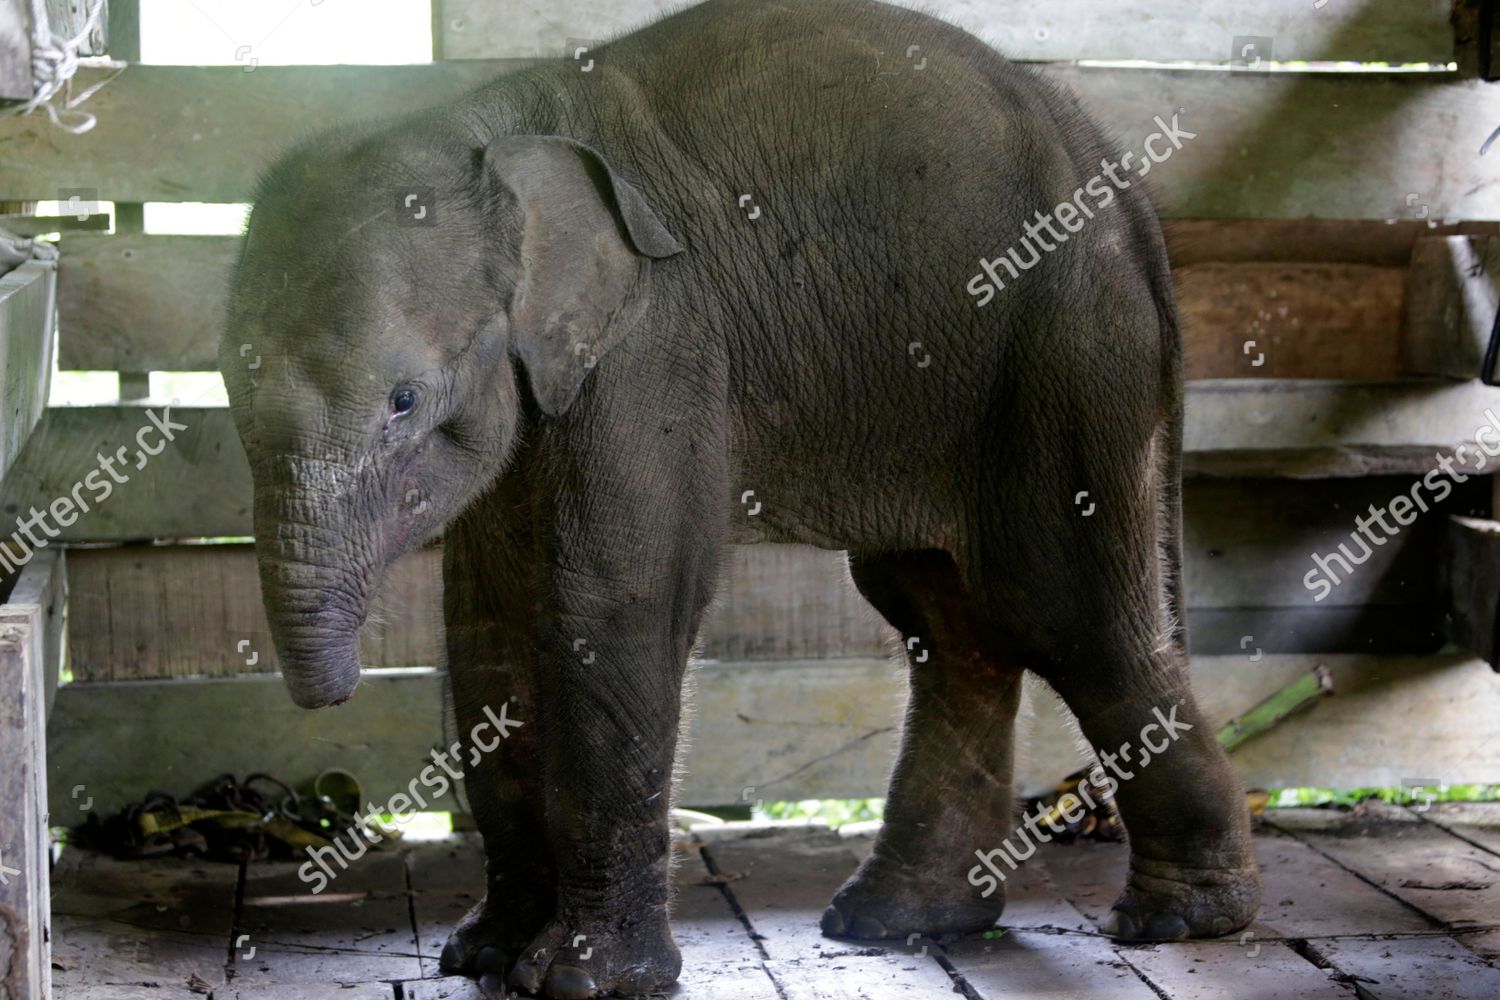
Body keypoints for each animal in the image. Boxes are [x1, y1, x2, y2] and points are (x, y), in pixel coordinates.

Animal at [219, 0, 1260, 995]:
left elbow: (608, 604)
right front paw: (482, 956)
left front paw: (578, 980)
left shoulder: (657, 340)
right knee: (942, 616)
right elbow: (486, 628)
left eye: (403, 401)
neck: (482, 125)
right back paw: (899, 921)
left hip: (1070, 352)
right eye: (229, 387)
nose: (332, 712)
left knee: (1062, 613)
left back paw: (1184, 920)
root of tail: (1126, 188)